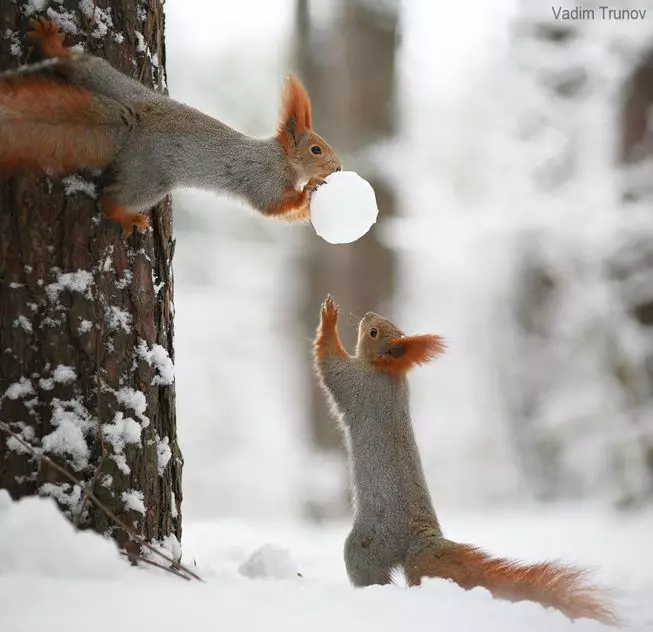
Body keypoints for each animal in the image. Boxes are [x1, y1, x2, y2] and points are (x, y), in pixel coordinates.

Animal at [2, 21, 342, 237]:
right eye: (316, 149)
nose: (338, 168)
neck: (282, 158)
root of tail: (133, 120)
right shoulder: (264, 178)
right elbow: (272, 207)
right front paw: (308, 192)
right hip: (149, 179)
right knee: (111, 200)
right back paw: (125, 215)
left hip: (117, 84)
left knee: (81, 65)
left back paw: (50, 44)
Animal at [314, 294, 620, 624]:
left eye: (374, 332)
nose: (368, 314)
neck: (388, 372)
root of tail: (420, 538)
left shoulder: (355, 383)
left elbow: (328, 362)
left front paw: (329, 319)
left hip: (368, 543)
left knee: (368, 572)